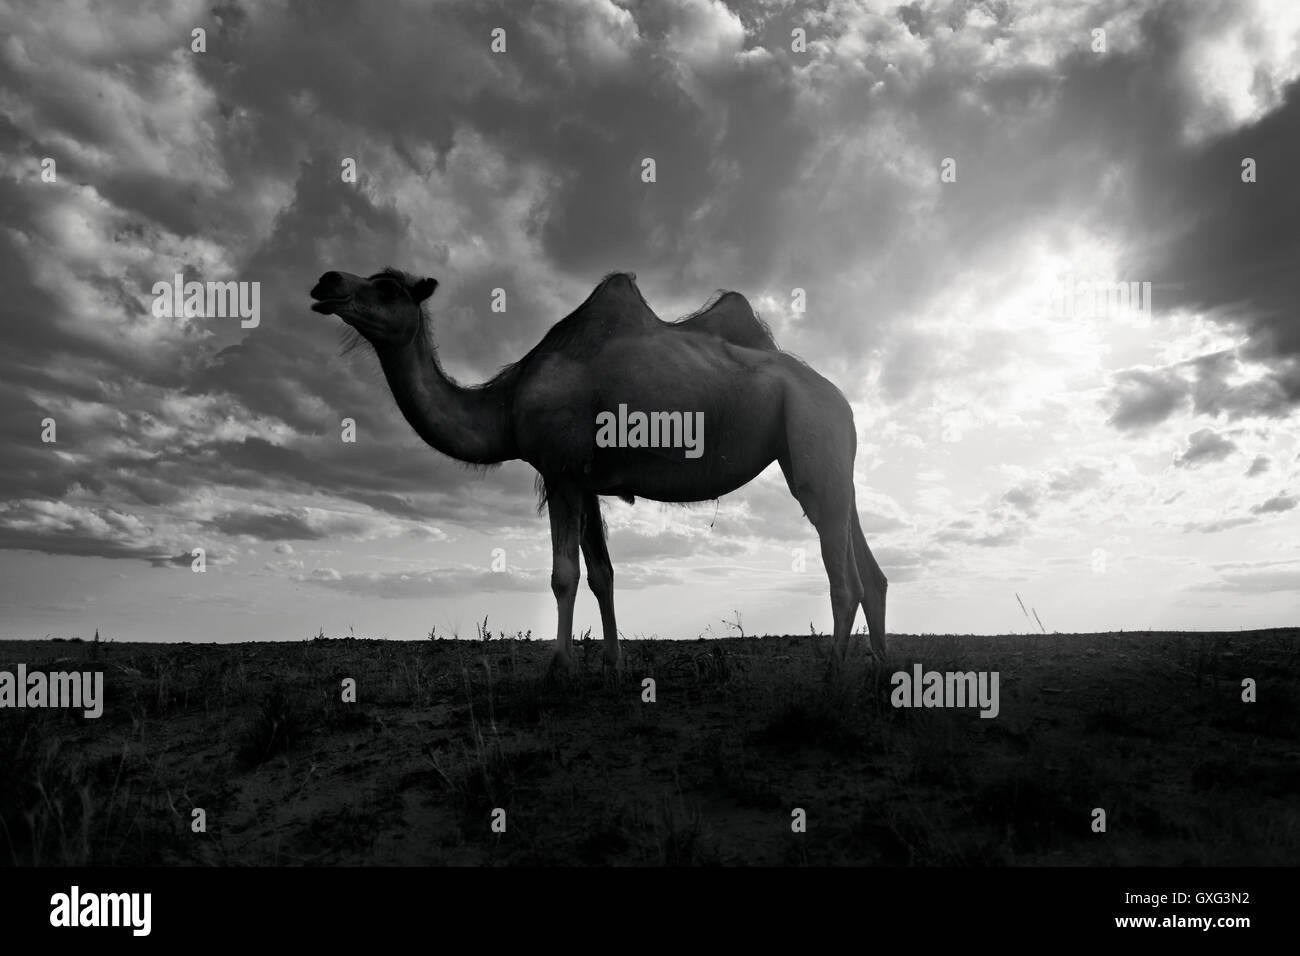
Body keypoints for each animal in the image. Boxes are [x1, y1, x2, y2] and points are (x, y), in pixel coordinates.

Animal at [309, 267, 887, 671]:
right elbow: (602, 573)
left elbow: (563, 574)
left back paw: (832, 676)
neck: (507, 404)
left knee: (843, 575)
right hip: (836, 460)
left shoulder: (560, 470)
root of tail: (842, 400)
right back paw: (880, 672)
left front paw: (560, 668)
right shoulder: (582, 481)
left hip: (811, 436)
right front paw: (611, 663)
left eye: (387, 288)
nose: (327, 280)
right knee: (870, 569)